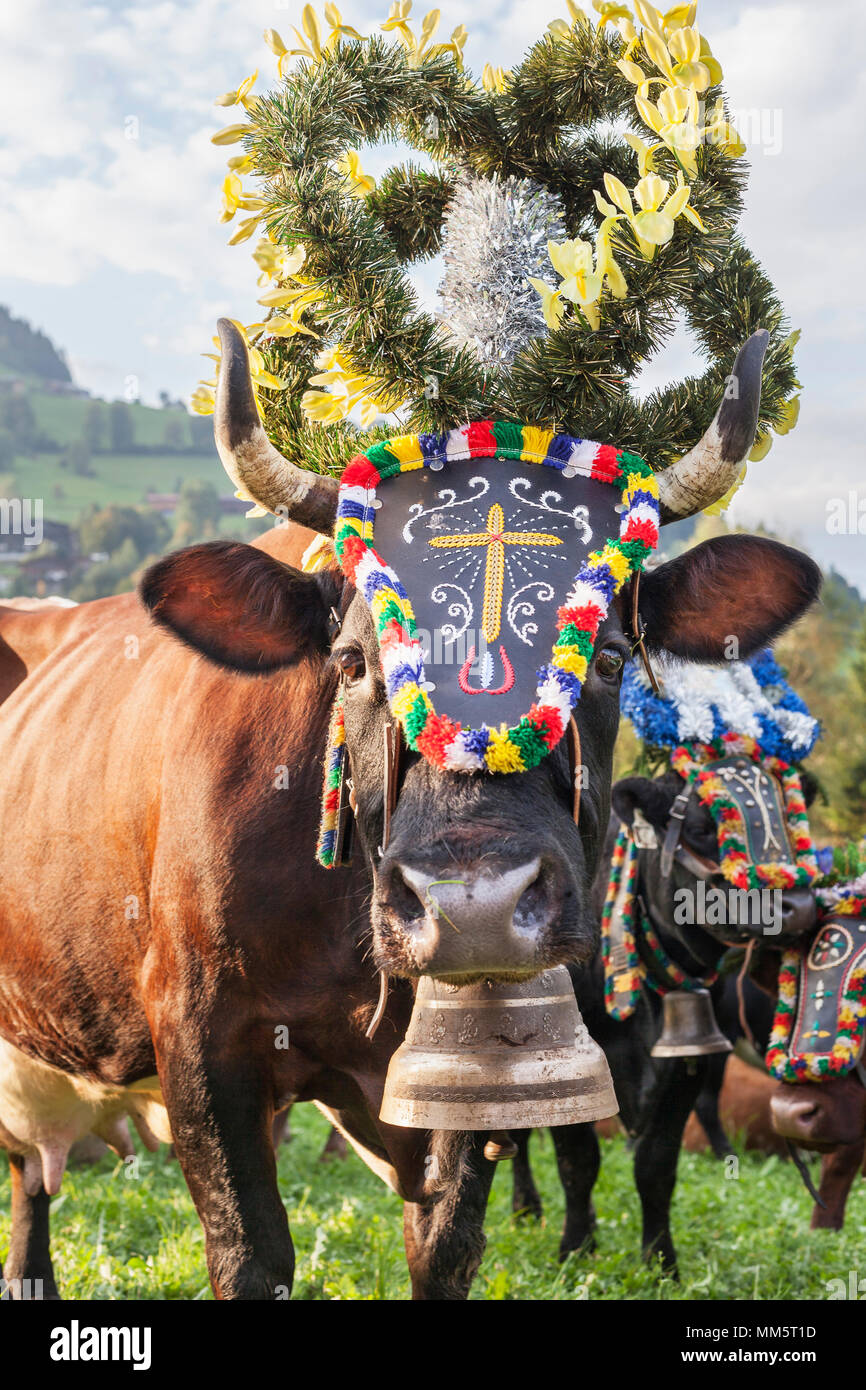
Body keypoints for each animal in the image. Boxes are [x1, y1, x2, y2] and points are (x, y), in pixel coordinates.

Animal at [0, 321, 821, 1299]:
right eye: (354, 662)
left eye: (612, 656)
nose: (475, 908)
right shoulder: (200, 1039)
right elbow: (251, 1252)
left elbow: (448, 1243)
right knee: (27, 1168)